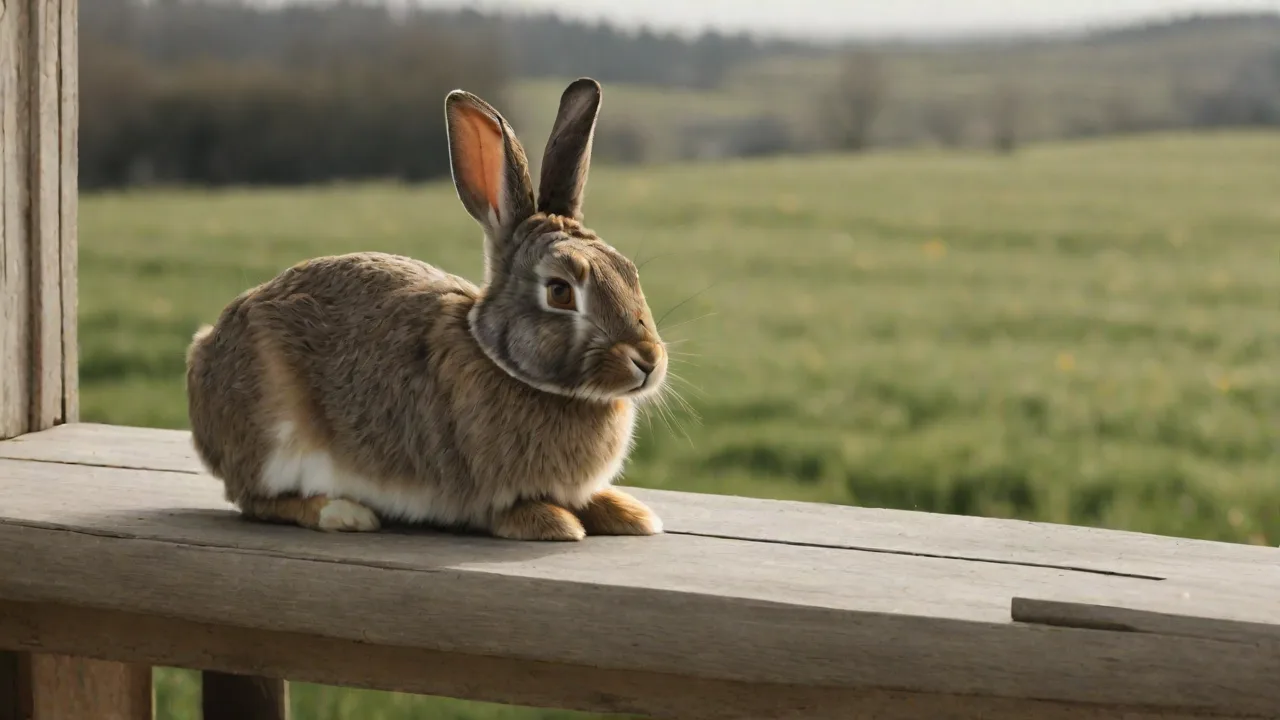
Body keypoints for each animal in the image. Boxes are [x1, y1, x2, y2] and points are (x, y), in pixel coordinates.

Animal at [185, 78, 668, 541]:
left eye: (628, 272)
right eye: (560, 291)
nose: (648, 361)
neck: (504, 365)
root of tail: (204, 352)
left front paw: (630, 514)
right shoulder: (485, 494)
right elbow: (512, 513)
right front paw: (555, 523)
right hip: (273, 434)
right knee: (258, 501)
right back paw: (343, 513)